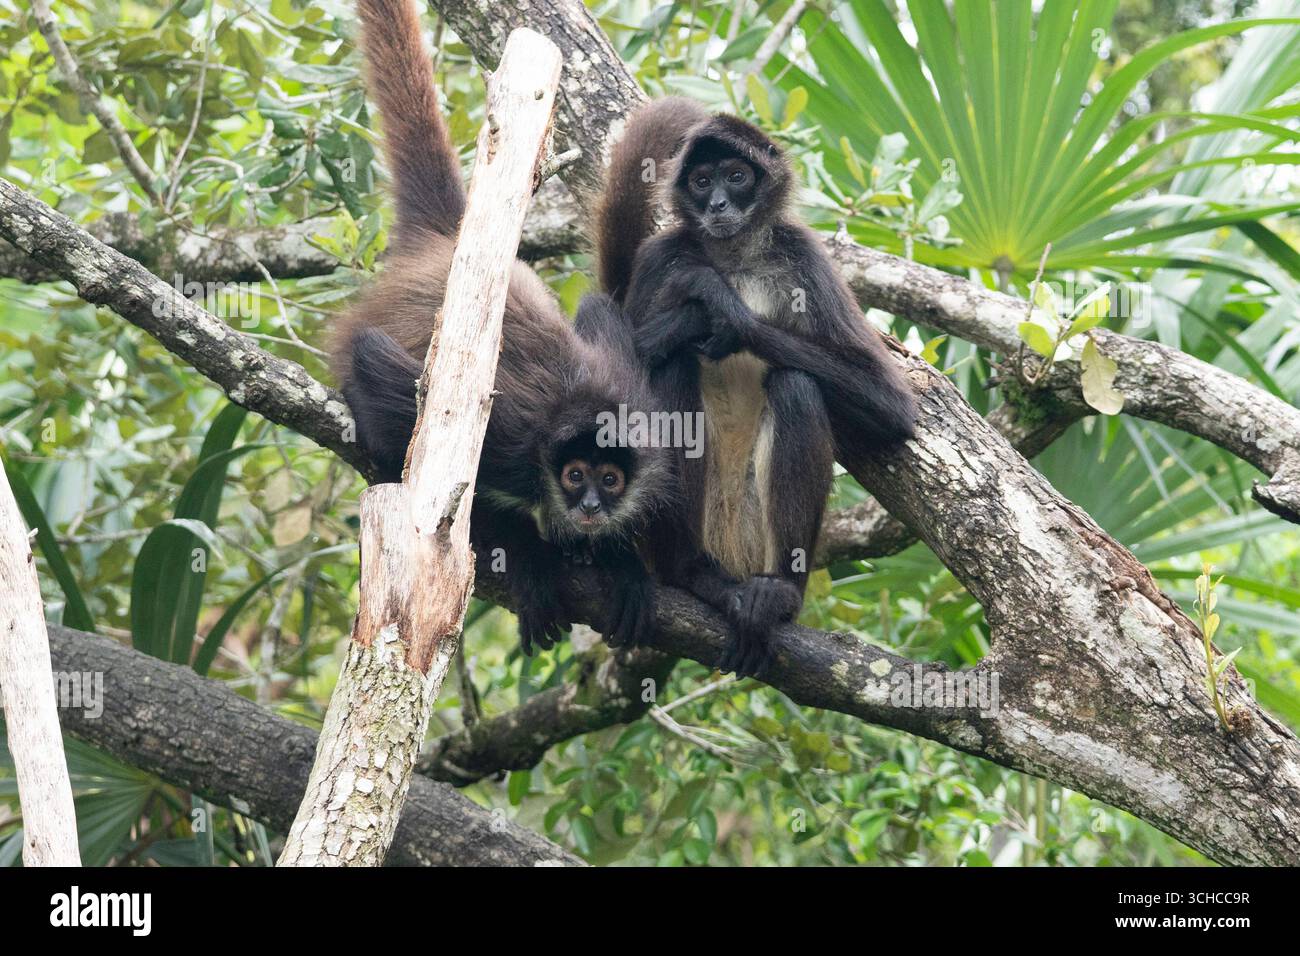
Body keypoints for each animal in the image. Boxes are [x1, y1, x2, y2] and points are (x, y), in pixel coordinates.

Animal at [331, 0, 673, 655]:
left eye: (611, 480)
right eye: (574, 476)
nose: (591, 505)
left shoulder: (643, 403)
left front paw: (621, 564)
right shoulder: (512, 441)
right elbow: (433, 503)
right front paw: (532, 561)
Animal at [593, 98, 918, 677]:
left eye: (737, 176)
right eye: (701, 181)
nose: (719, 202)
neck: (735, 260)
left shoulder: (802, 254)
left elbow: (892, 406)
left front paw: (720, 310)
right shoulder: (662, 258)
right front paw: (699, 309)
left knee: (795, 384)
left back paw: (777, 595)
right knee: (672, 369)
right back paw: (692, 574)